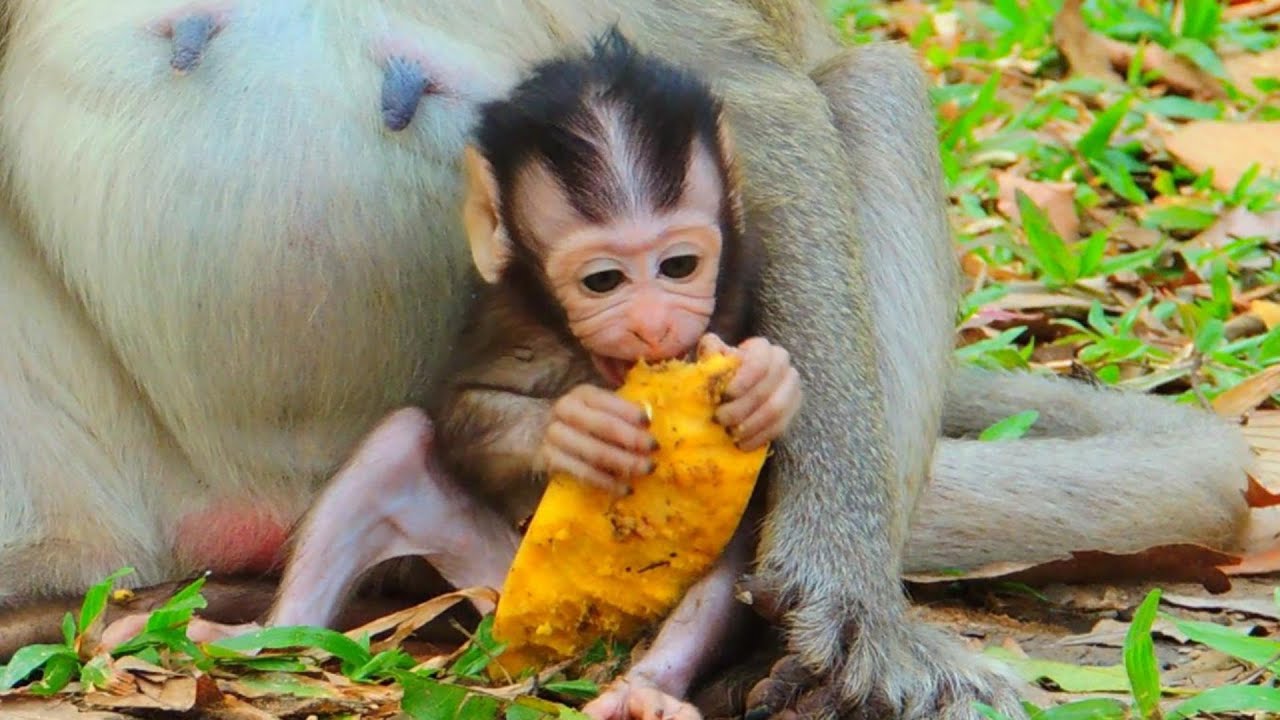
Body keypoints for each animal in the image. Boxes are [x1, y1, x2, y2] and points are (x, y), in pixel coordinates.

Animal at [0, 3, 1253, 719]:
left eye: (678, 264)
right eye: (603, 277)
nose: (651, 323)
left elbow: (748, 84)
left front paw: (842, 588)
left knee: (874, 88)